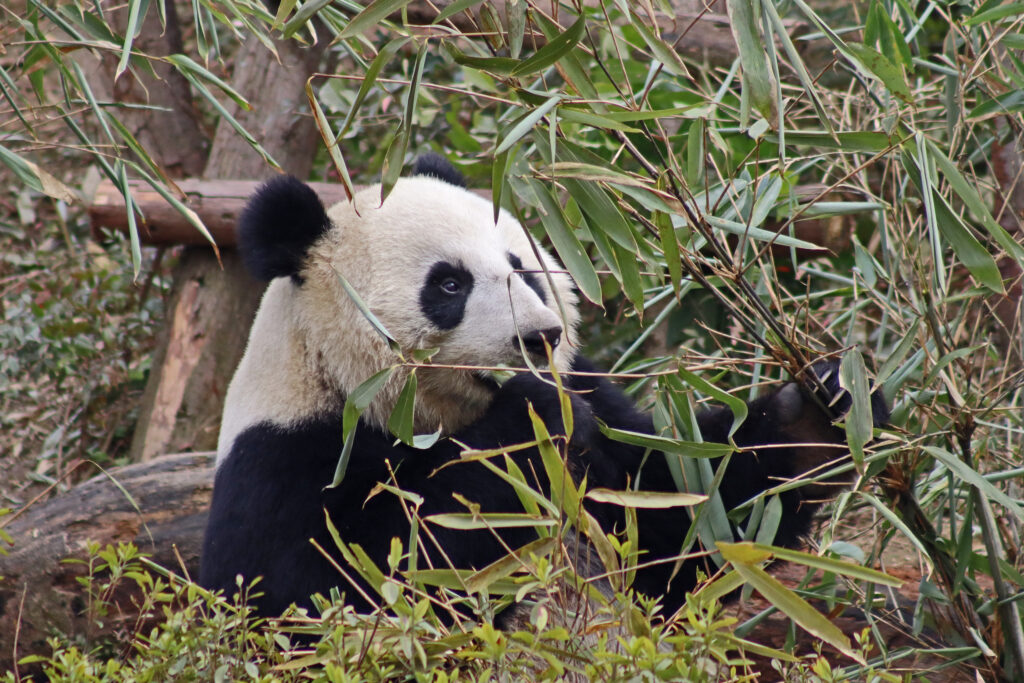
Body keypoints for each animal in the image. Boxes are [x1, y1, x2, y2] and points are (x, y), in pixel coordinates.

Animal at [200, 154, 888, 620]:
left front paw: (821, 413)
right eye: (449, 284)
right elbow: (324, 592)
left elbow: (683, 523)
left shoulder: (595, 401)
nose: (542, 338)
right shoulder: (286, 453)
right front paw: (524, 425)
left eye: (523, 269)